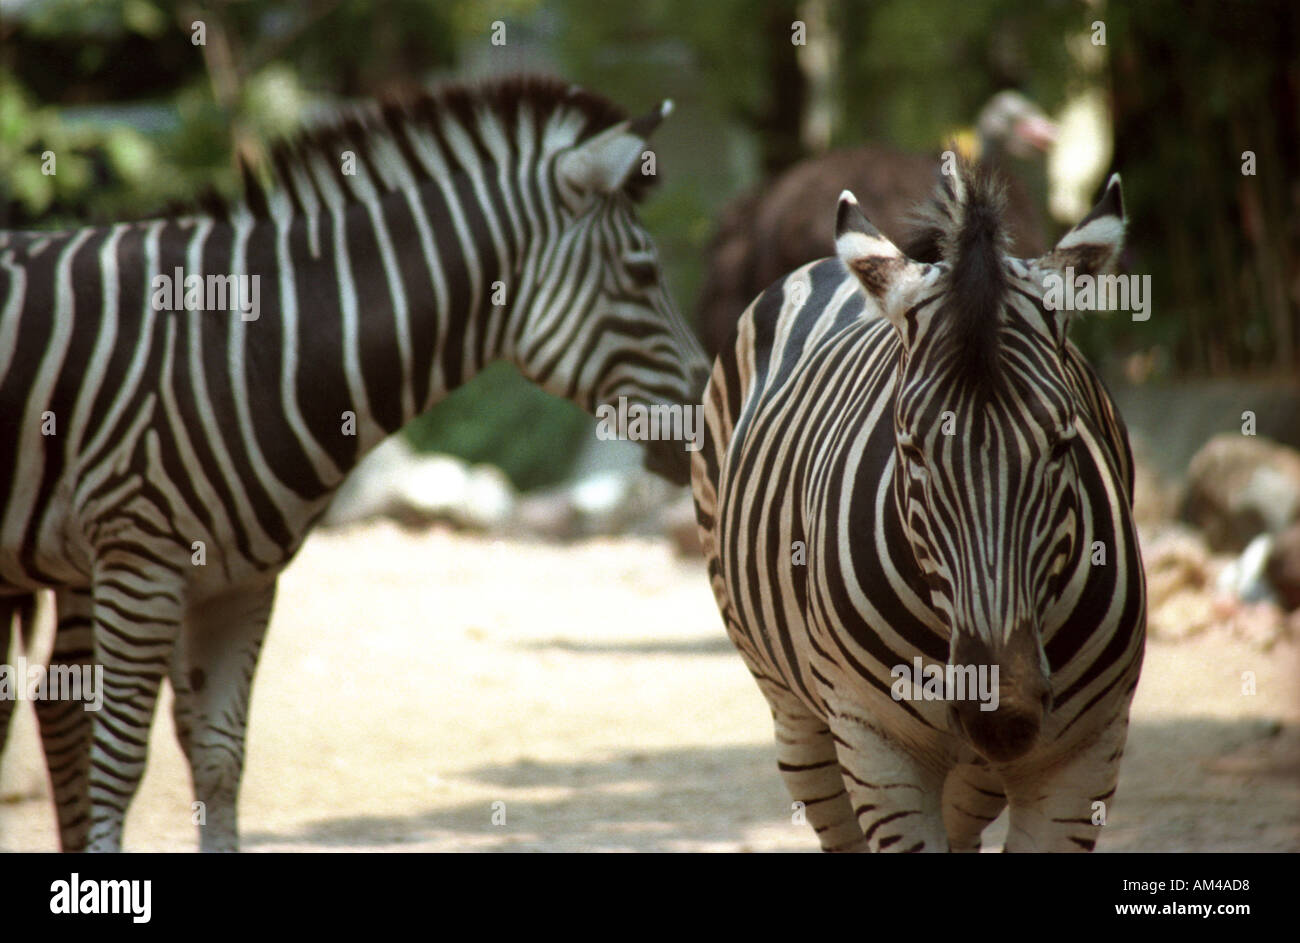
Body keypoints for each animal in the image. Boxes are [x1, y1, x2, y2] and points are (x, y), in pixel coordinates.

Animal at [0, 75, 708, 852]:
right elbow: (122, 763)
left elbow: (219, 759)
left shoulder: (237, 583)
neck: (251, 348)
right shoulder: (141, 563)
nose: (706, 418)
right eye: (643, 271)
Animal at [692, 162, 1145, 852]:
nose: (1001, 714)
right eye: (909, 448)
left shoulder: (1084, 757)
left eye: (1064, 441)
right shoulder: (879, 748)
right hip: (798, 714)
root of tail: (822, 263)